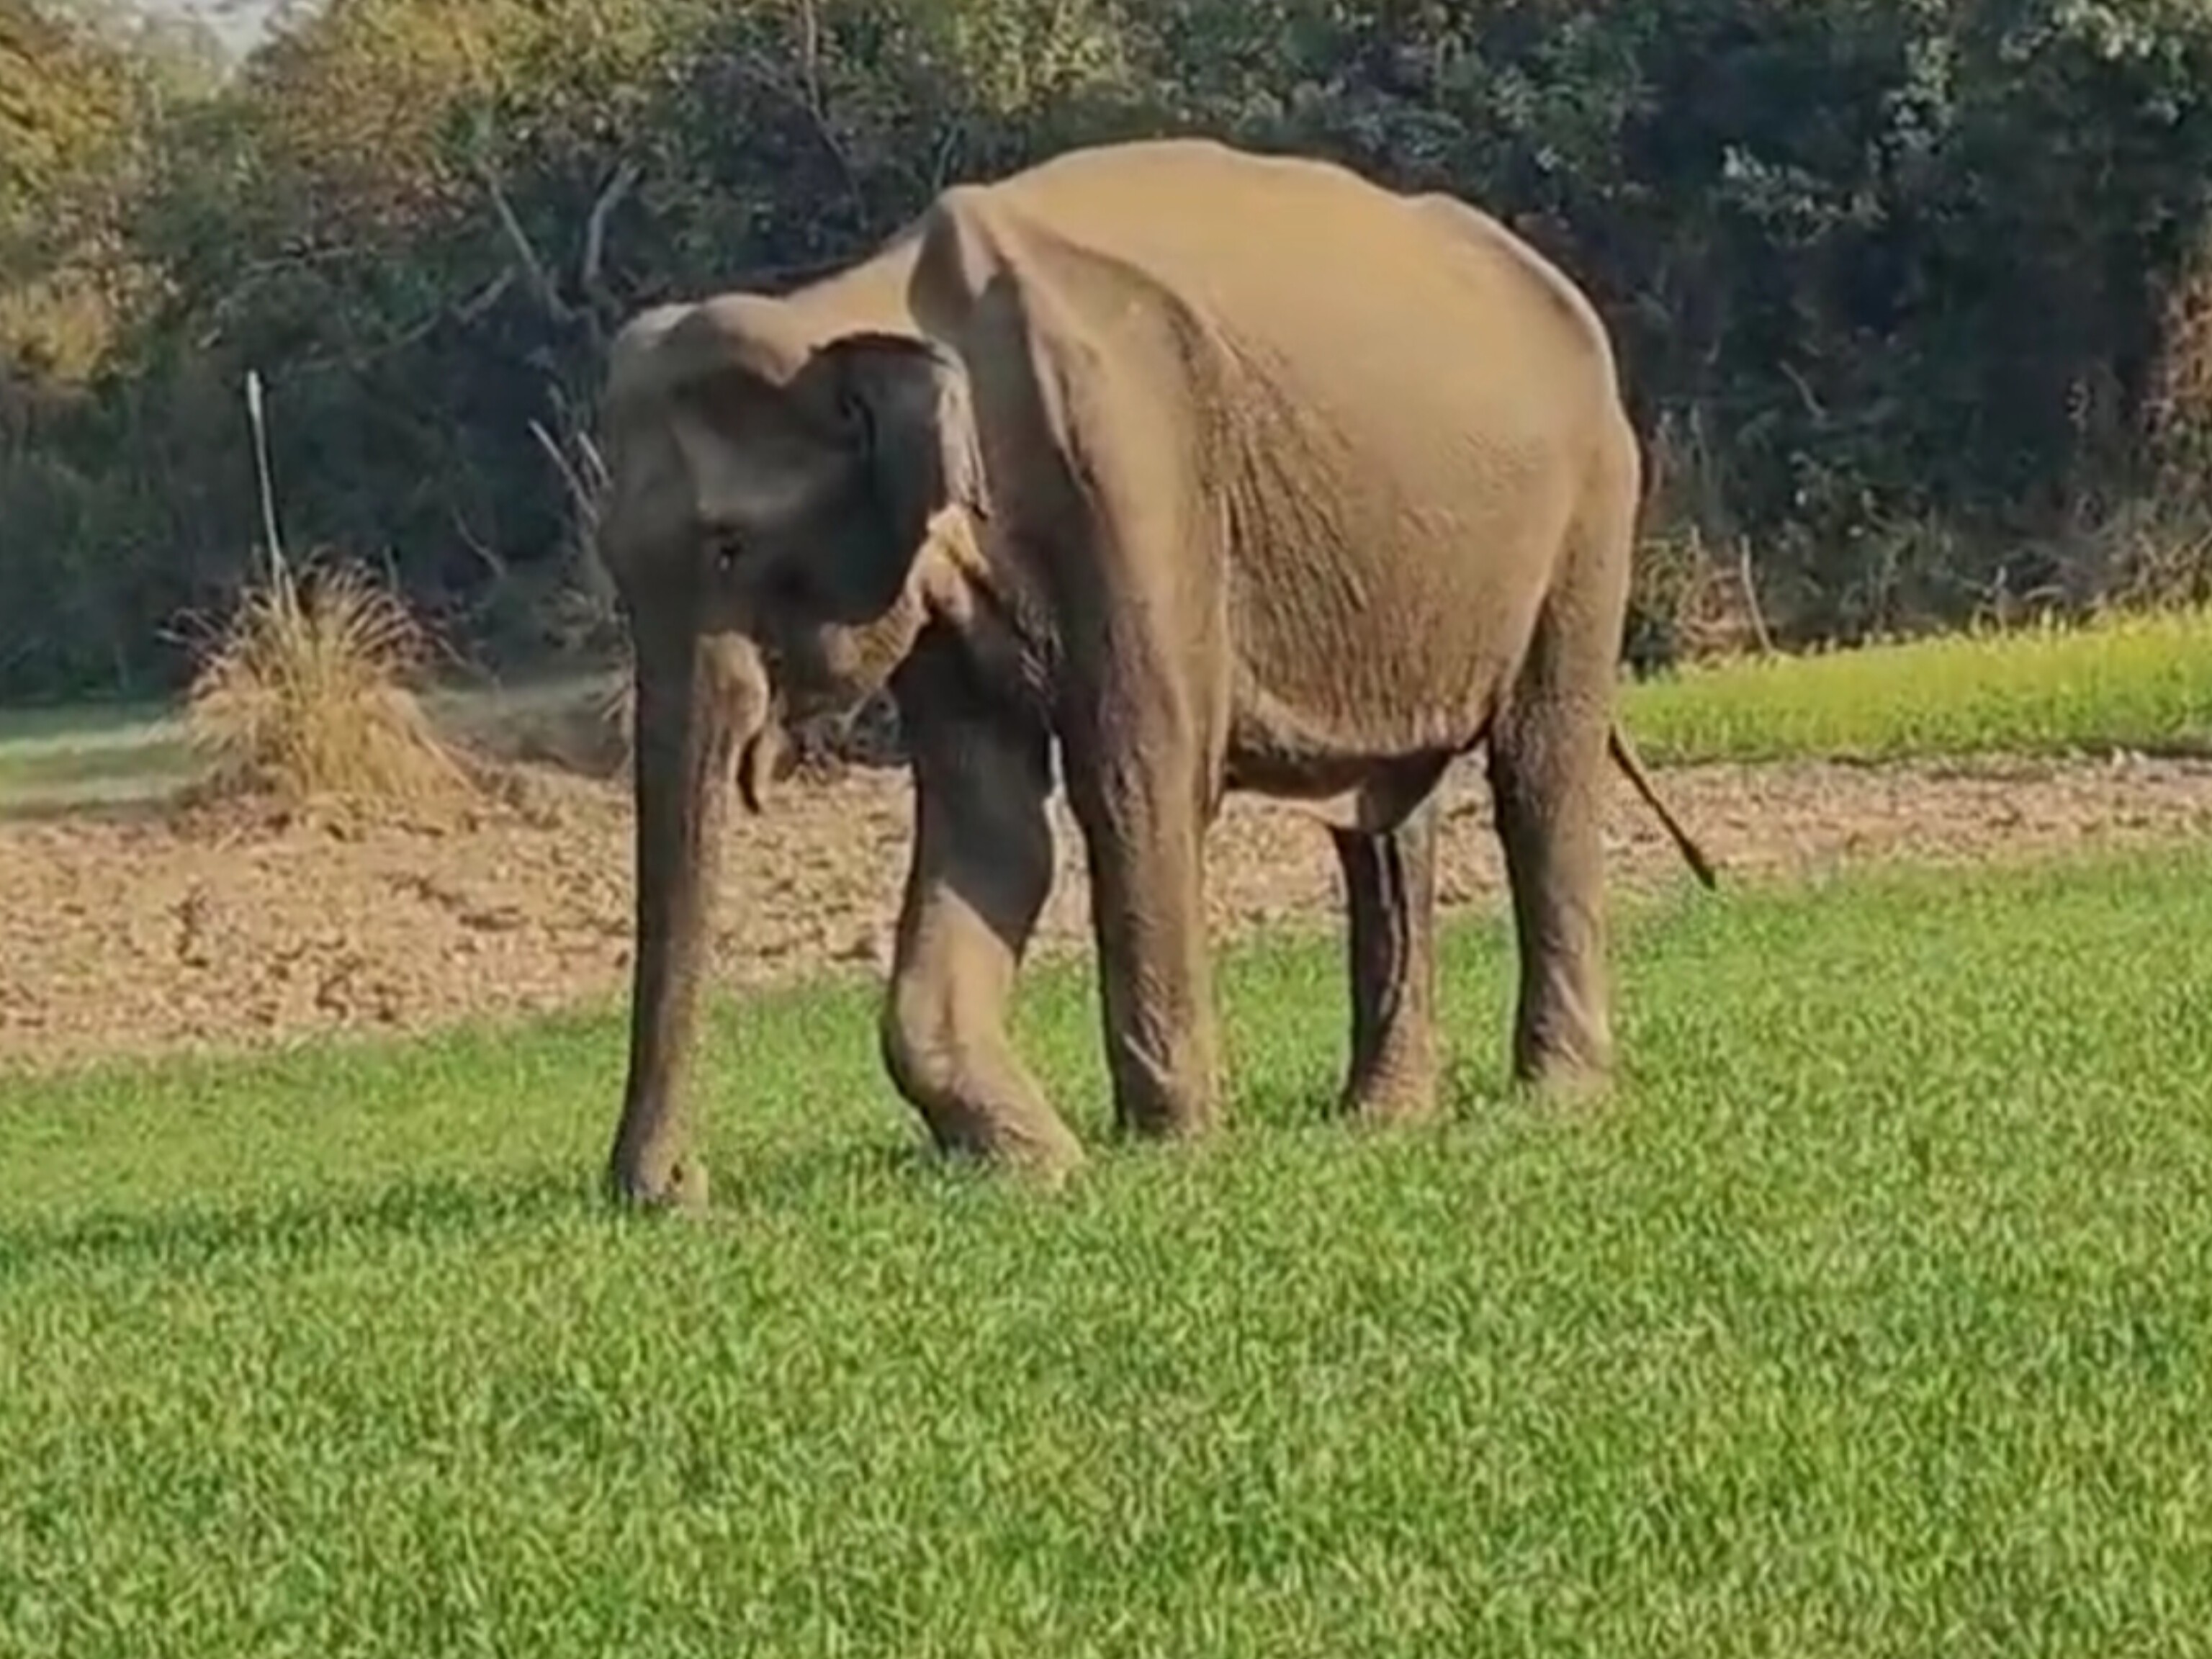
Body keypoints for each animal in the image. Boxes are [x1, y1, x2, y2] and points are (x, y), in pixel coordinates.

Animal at [592, 137, 1718, 1209]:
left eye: (728, 548)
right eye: (617, 566)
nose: (675, 1192)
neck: (862, 301)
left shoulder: (1133, 471)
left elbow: (1138, 782)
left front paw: (1170, 1147)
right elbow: (992, 825)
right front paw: (1041, 1163)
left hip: (1590, 506)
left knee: (1540, 768)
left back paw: (1554, 1102)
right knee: (1390, 814)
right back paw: (1380, 1118)